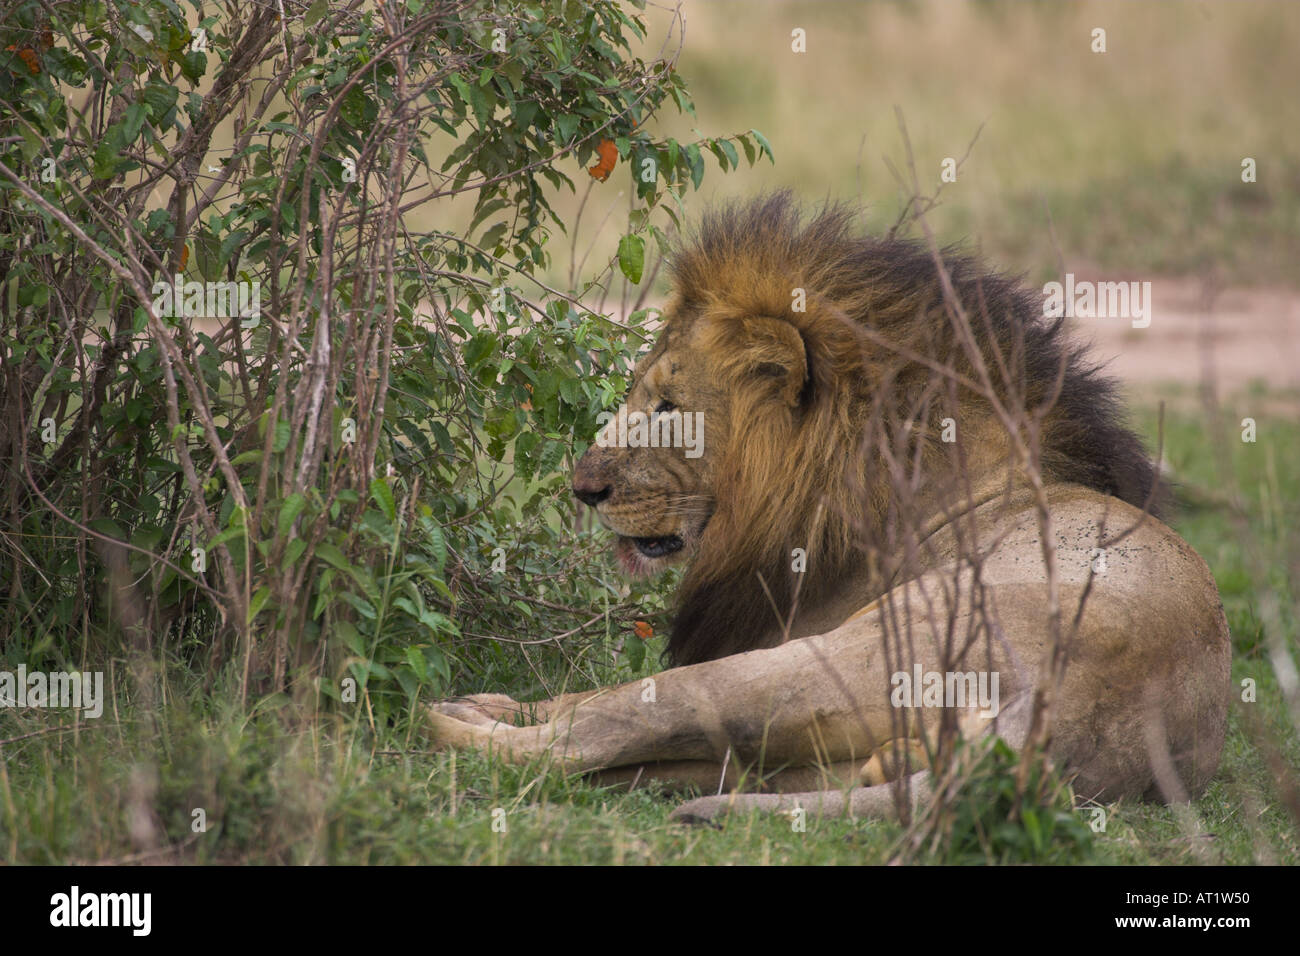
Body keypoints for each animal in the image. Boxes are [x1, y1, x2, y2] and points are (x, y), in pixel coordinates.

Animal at [428, 194, 1231, 824]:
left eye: (668, 406)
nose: (583, 487)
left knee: (593, 732)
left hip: (827, 656)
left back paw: (453, 721)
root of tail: (1089, 705)